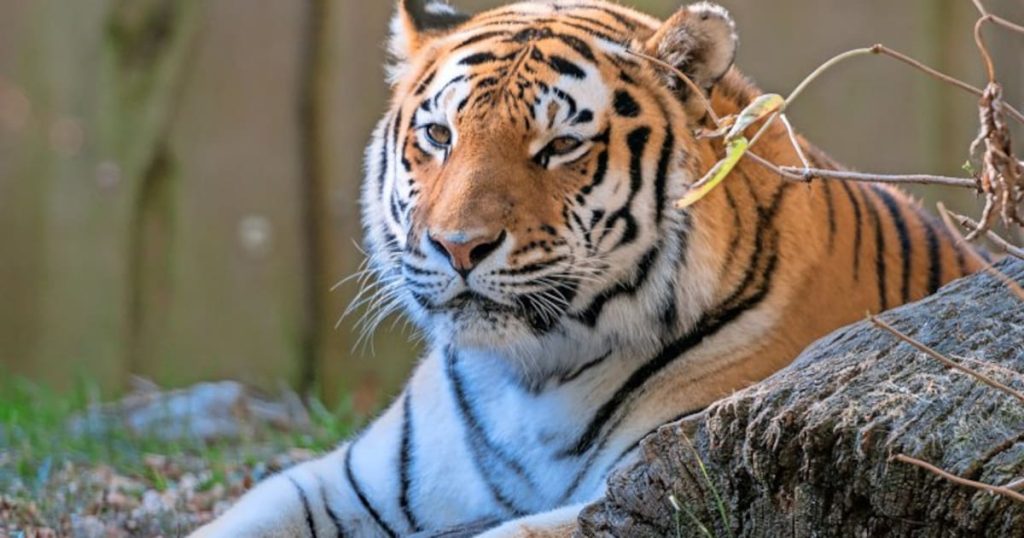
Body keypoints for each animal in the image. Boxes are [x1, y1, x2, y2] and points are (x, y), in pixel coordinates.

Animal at [188, 1, 978, 536]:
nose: (458, 246)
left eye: (561, 146)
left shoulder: (651, 490)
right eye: (439, 135)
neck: (531, 376)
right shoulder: (353, 483)